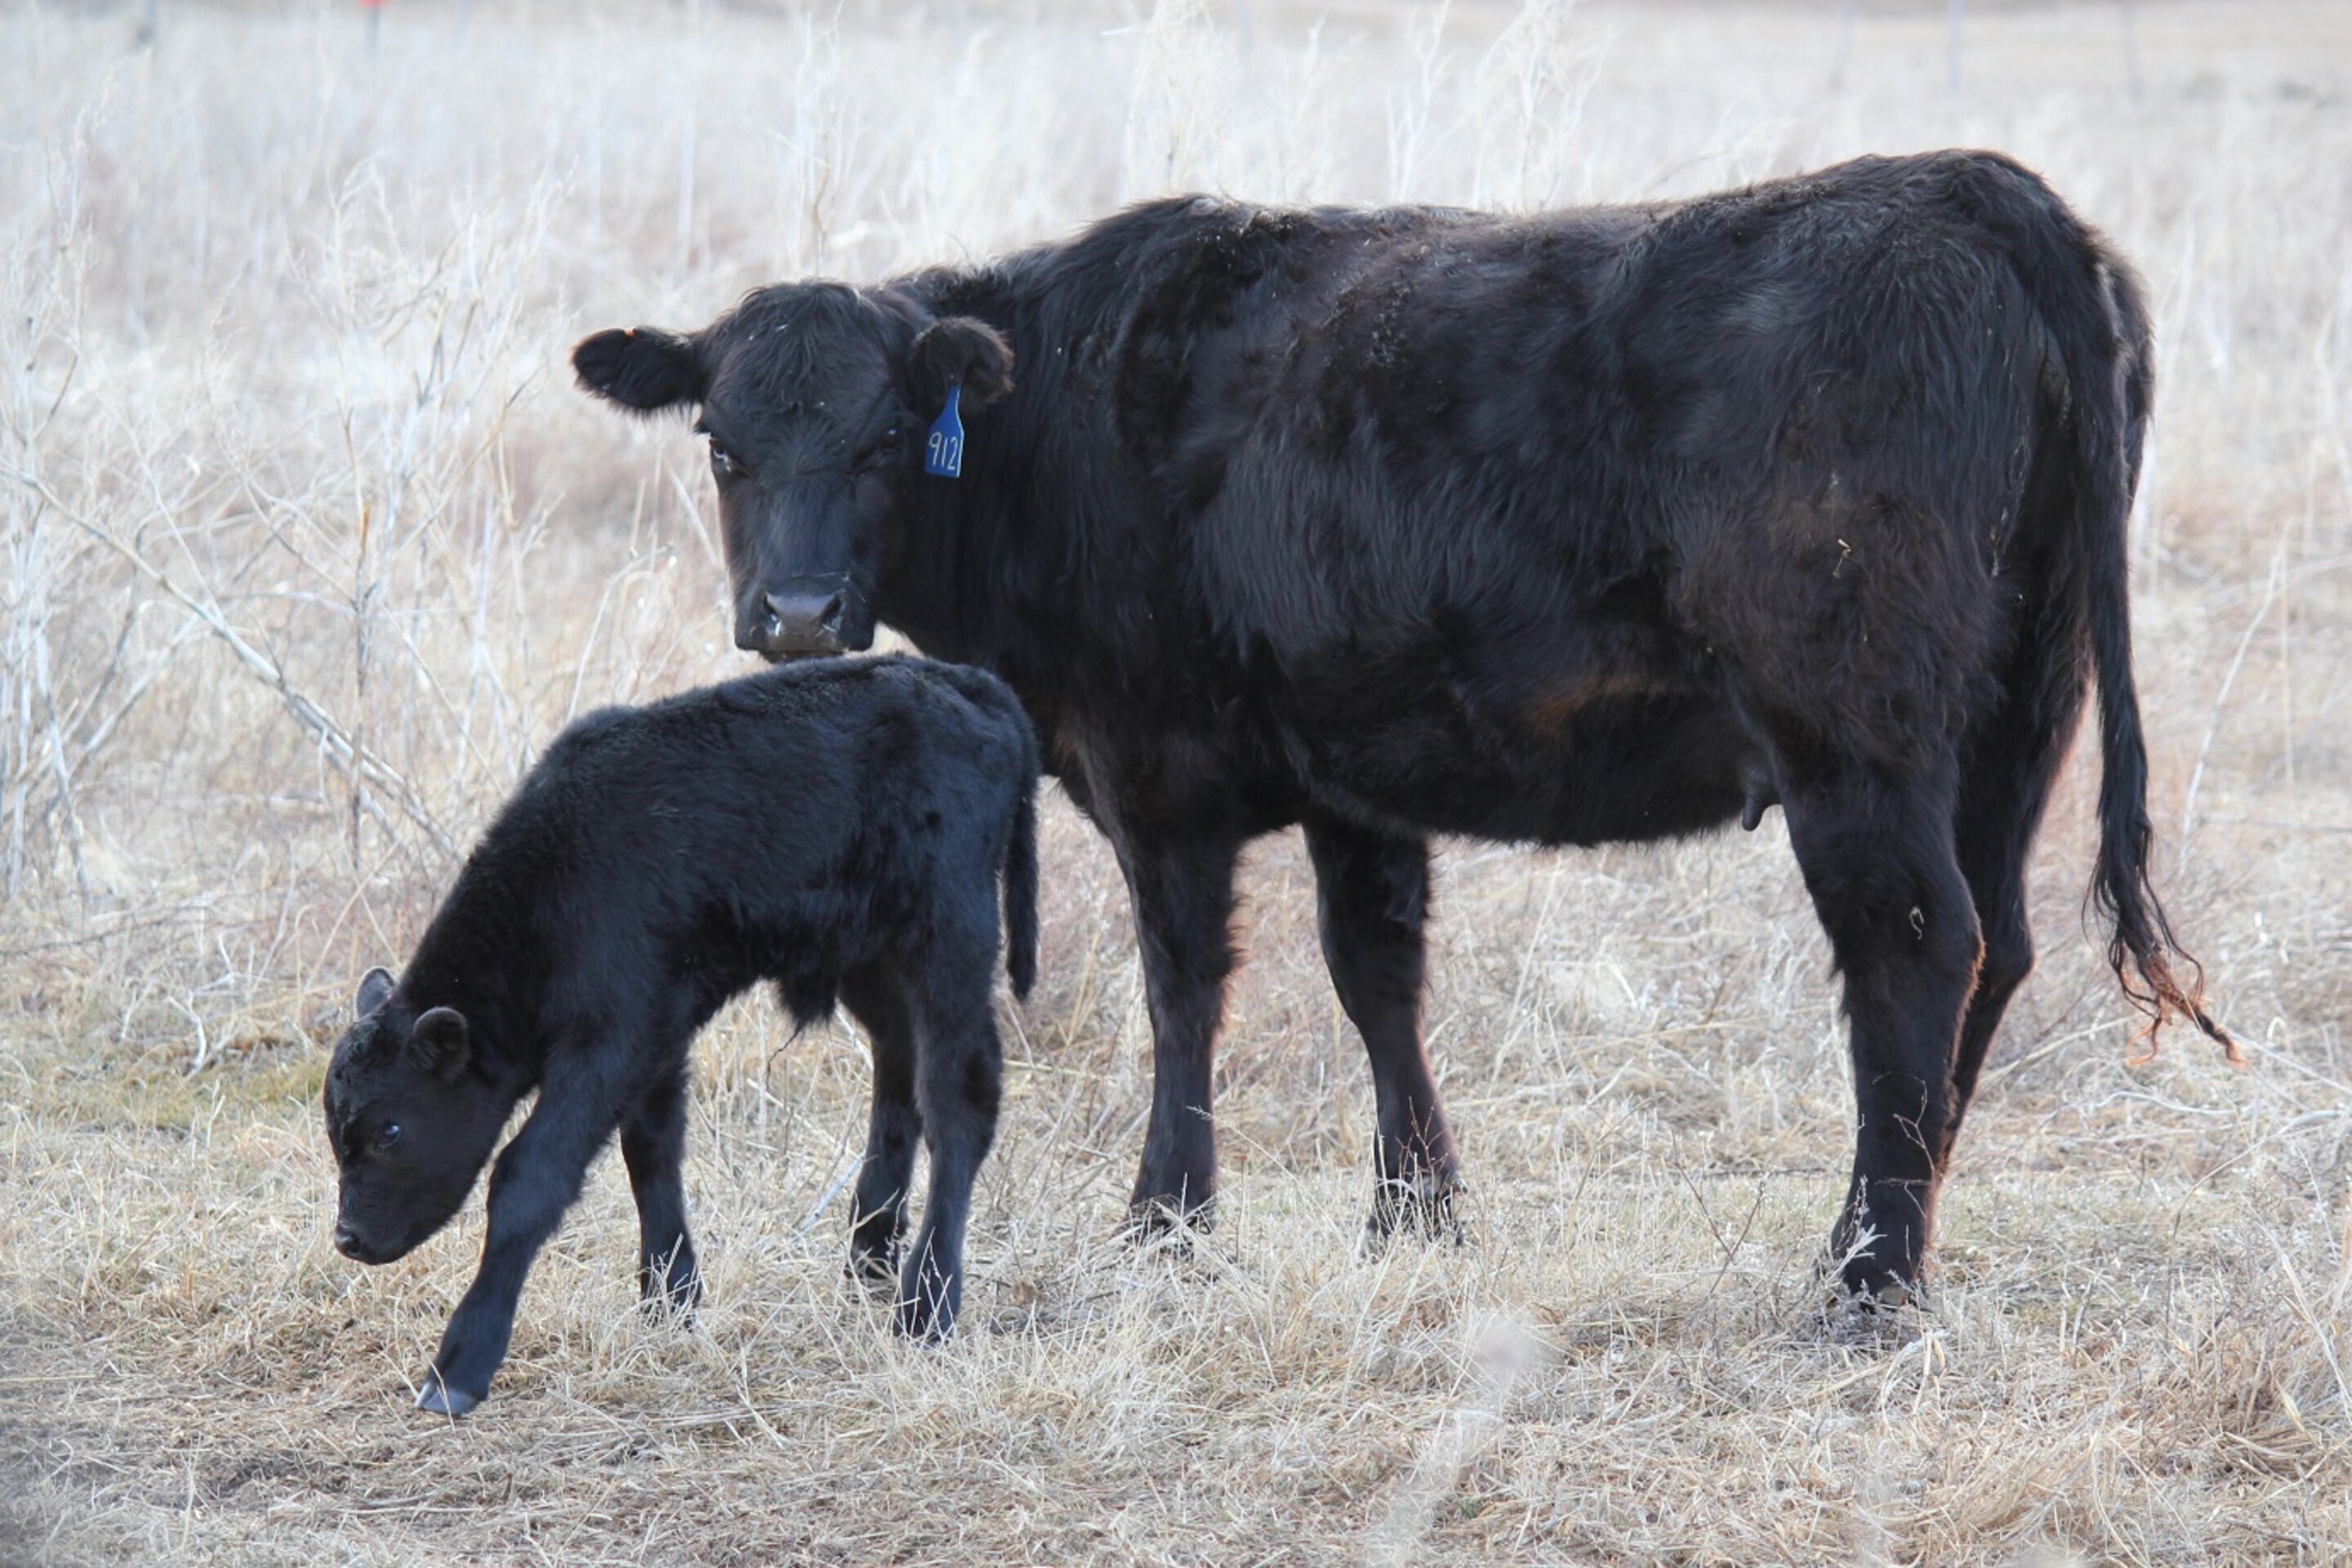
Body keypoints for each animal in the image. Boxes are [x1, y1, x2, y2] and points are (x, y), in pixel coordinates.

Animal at [325, 655, 1040, 1415]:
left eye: (391, 1129)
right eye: (334, 1128)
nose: (349, 1237)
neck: (559, 877)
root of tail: (964, 682)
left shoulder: (607, 1044)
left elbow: (528, 1177)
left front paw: (459, 1365)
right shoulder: (656, 1034)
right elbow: (652, 1154)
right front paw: (671, 1298)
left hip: (950, 949)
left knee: (959, 1104)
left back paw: (927, 1306)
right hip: (872, 960)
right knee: (898, 1074)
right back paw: (870, 1254)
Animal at [572, 150, 2236, 1306]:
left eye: (878, 441)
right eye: (720, 444)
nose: (797, 614)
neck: (1066, 414)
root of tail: (1973, 190)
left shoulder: (1154, 771)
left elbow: (1187, 990)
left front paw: (1167, 1222)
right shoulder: (1356, 778)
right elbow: (1379, 978)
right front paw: (1416, 1214)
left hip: (1860, 741)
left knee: (1917, 953)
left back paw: (1869, 1276)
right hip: (2016, 722)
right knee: (1998, 952)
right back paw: (1894, 1228)